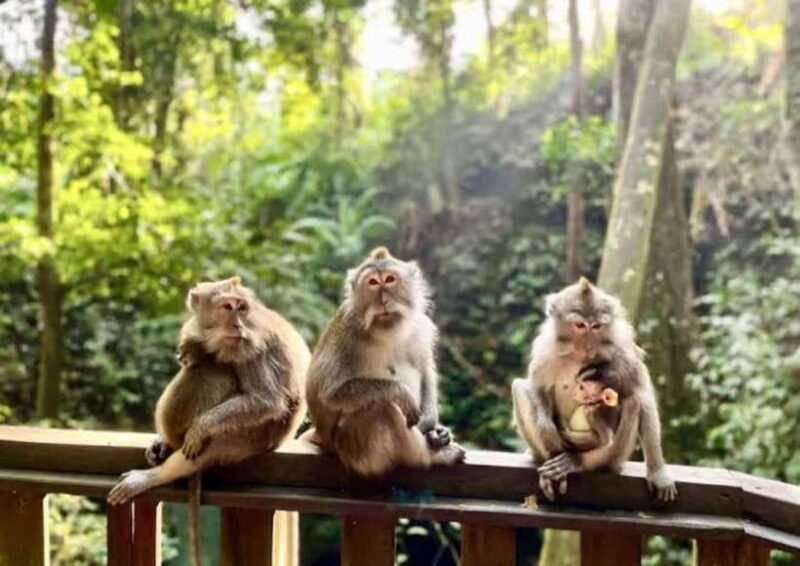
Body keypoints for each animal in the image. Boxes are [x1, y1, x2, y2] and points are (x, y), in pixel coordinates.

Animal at [107, 277, 310, 565]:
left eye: (241, 307)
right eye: (227, 307)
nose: (238, 325)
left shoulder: (252, 347)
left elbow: (266, 400)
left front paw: (200, 426)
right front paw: (193, 344)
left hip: (250, 436)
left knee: (214, 370)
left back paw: (156, 474)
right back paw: (164, 445)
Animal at [303, 247, 465, 477]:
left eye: (389, 279)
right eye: (372, 282)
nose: (383, 300)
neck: (386, 331)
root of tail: (328, 445)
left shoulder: (420, 327)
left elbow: (426, 371)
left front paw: (432, 425)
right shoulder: (346, 333)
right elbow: (330, 392)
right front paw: (401, 393)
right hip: (355, 450)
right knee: (382, 409)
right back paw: (430, 456)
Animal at [511, 277, 677, 504]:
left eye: (597, 326)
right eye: (580, 325)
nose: (588, 346)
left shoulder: (623, 349)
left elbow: (643, 396)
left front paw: (658, 473)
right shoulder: (545, 350)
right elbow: (538, 388)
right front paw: (548, 433)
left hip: (615, 454)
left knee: (633, 401)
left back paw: (576, 461)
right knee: (519, 387)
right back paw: (547, 457)